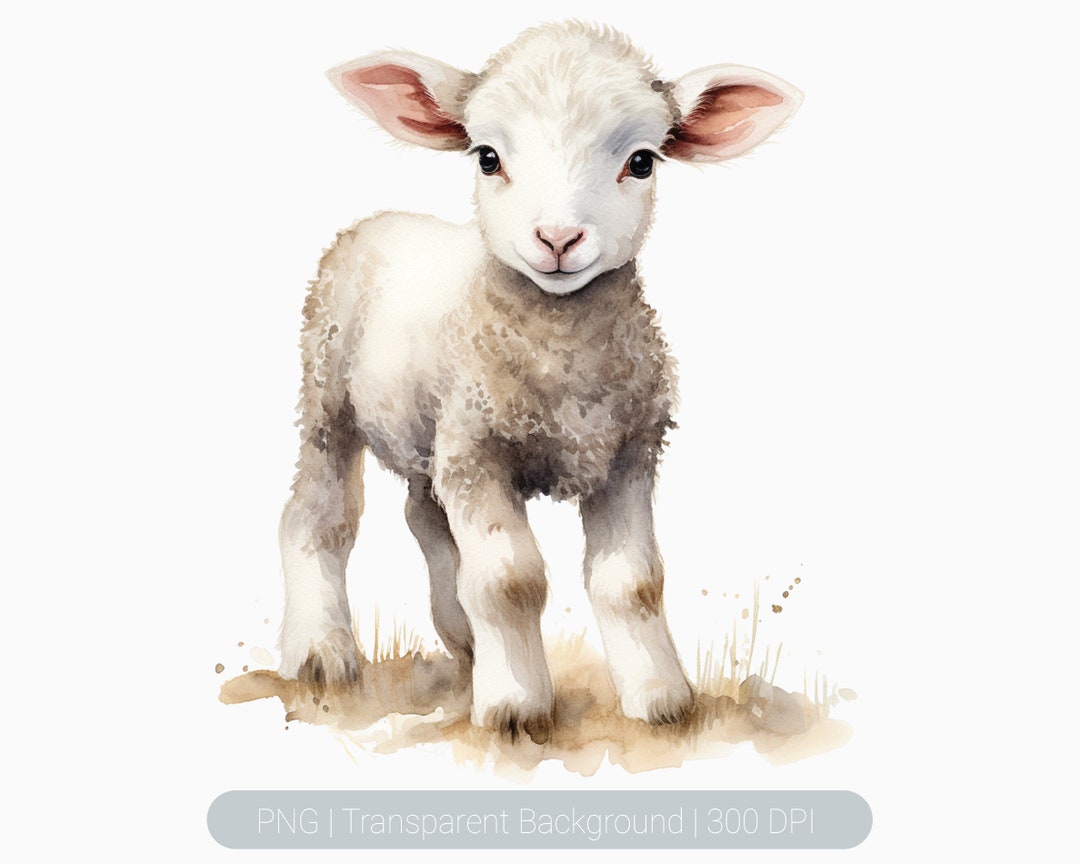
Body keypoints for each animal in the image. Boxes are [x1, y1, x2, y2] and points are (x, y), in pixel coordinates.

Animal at [278, 21, 801, 744]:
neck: (563, 361)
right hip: (328, 396)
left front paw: (659, 699)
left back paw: (465, 640)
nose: (558, 238)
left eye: (642, 162)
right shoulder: (480, 454)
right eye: (487, 157)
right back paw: (320, 651)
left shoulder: (626, 454)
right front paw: (516, 707)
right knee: (318, 515)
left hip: (433, 429)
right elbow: (509, 581)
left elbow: (632, 582)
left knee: (424, 514)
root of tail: (380, 219)